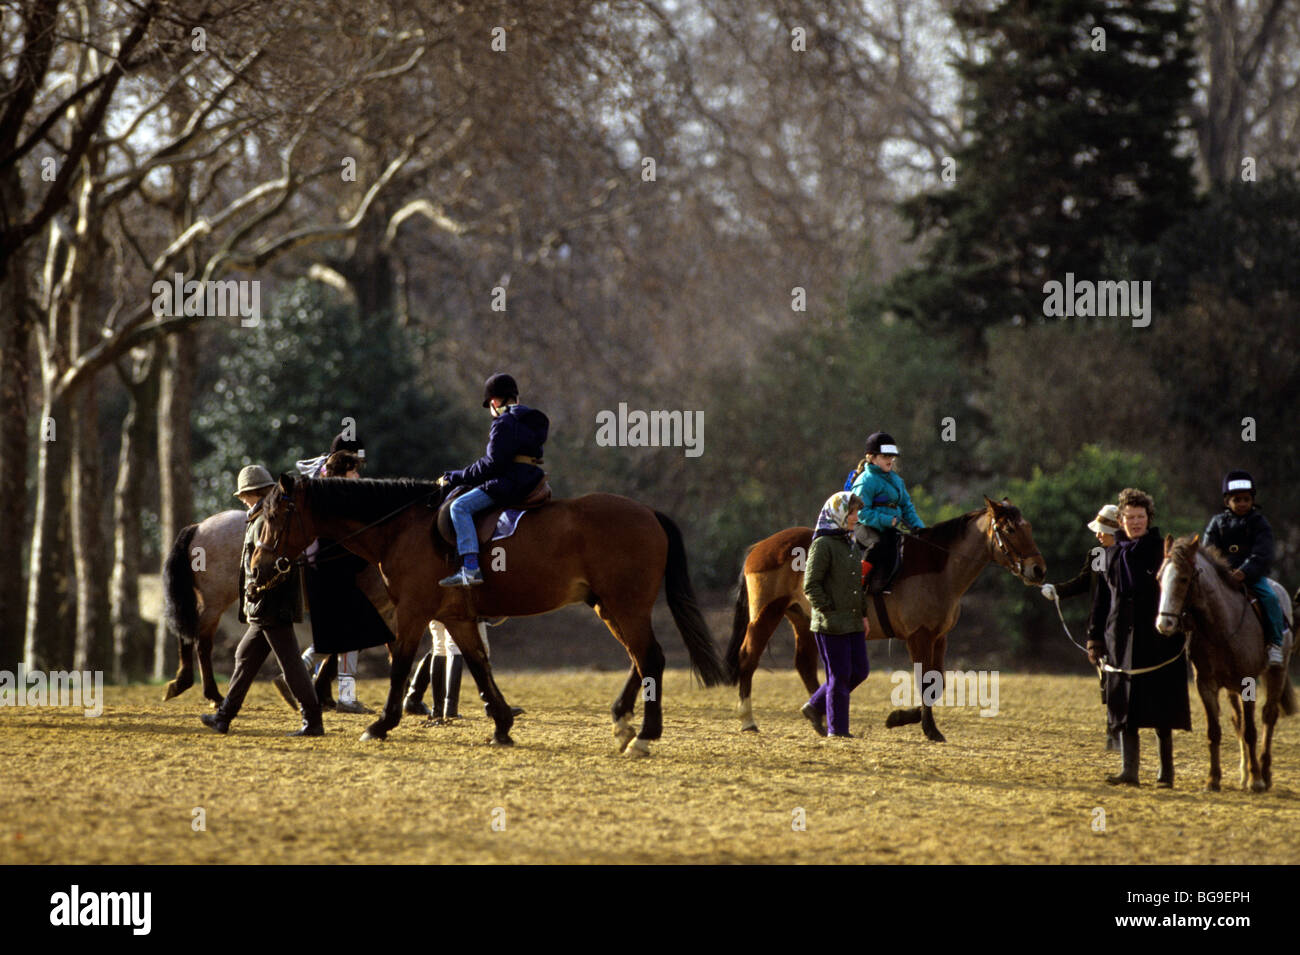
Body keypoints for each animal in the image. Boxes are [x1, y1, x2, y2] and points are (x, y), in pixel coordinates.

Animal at [249, 475, 726, 754]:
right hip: (611, 606)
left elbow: (401, 663)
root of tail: (647, 512)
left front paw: (382, 724)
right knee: (639, 658)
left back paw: (644, 734)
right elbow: (478, 664)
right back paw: (623, 720)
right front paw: (500, 724)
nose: (256, 566)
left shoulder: (413, 612)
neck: (403, 528)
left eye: (275, 514)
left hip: (626, 606)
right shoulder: (456, 618)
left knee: (650, 658)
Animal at [725, 496, 1046, 741]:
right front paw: (927, 728)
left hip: (802, 619)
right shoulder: (918, 636)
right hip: (766, 614)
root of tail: (760, 547)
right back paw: (749, 720)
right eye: (1009, 529)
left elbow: (938, 682)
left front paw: (901, 718)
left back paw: (819, 716)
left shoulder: (939, 637)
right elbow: (925, 682)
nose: (1038, 569)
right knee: (748, 658)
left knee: (804, 664)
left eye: (1028, 527)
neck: (937, 568)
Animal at [1155, 534, 1296, 792]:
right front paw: (1213, 779)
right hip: (1232, 689)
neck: (1221, 627)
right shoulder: (1206, 685)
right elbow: (1215, 731)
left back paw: (1265, 773)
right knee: (1237, 720)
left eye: (1183, 578)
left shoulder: (1247, 684)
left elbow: (1251, 731)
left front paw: (1256, 779)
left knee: (1268, 716)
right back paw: (1244, 773)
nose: (1164, 624)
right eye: (1160, 578)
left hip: (1277, 672)